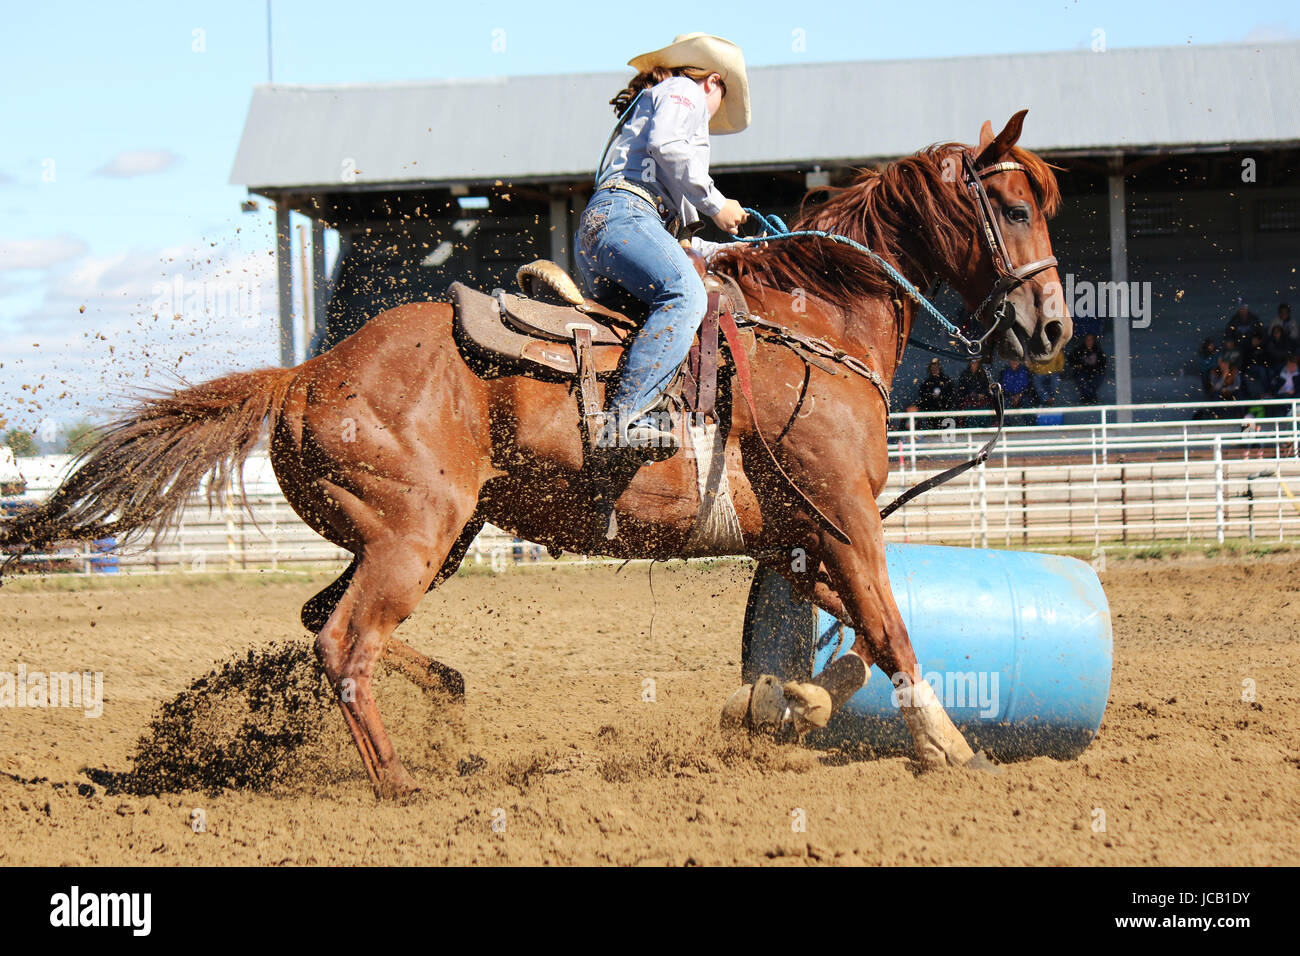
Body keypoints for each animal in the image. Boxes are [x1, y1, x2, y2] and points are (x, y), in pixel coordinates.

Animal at [0, 111, 1070, 798]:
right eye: (1015, 209)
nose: (1054, 325)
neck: (812, 324)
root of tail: (302, 373)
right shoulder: (844, 517)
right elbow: (891, 629)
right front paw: (944, 746)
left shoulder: (796, 537)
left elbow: (851, 639)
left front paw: (788, 702)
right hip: (413, 536)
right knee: (343, 642)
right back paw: (402, 786)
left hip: (421, 535)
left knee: (322, 624)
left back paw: (450, 713)